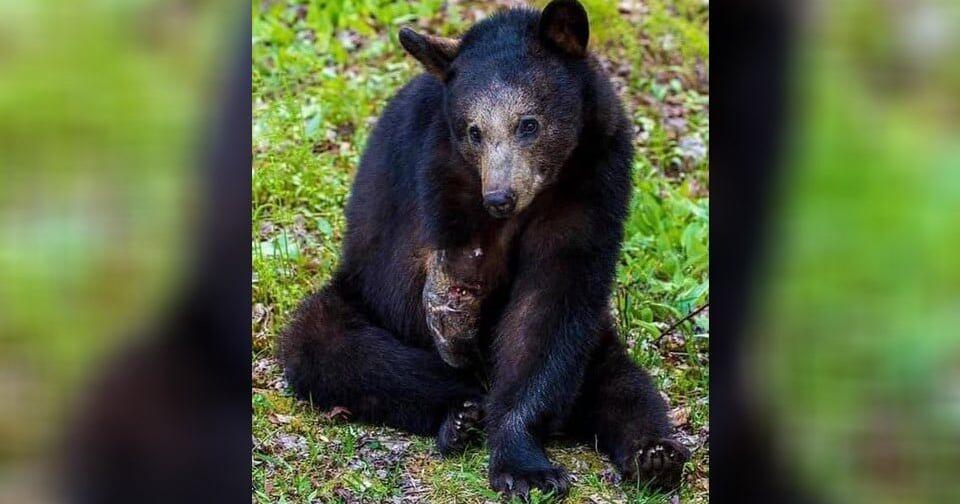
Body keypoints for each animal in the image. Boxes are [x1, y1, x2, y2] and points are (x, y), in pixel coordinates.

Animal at [279, 0, 690, 498]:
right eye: (473, 131)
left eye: (528, 124)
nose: (499, 198)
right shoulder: (441, 177)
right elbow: (447, 280)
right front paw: (524, 465)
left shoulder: (594, 177)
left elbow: (551, 305)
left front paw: (523, 457)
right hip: (359, 296)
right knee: (337, 350)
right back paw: (461, 415)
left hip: (596, 347)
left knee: (623, 382)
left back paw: (655, 455)